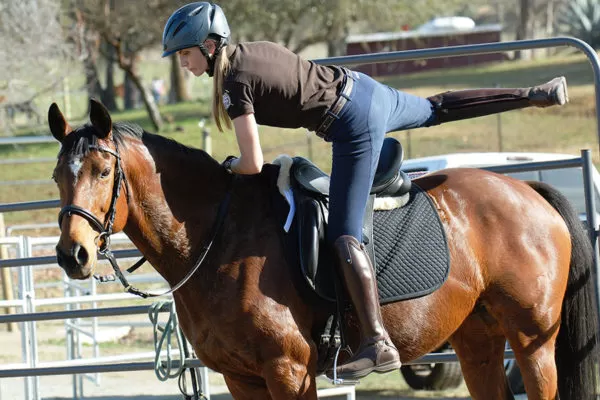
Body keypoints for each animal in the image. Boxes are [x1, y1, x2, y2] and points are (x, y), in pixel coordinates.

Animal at [49, 97, 596, 400]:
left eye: (103, 171)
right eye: (58, 176)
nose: (72, 256)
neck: (216, 237)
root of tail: (526, 189)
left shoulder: (288, 371)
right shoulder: (241, 379)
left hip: (533, 342)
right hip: (478, 341)